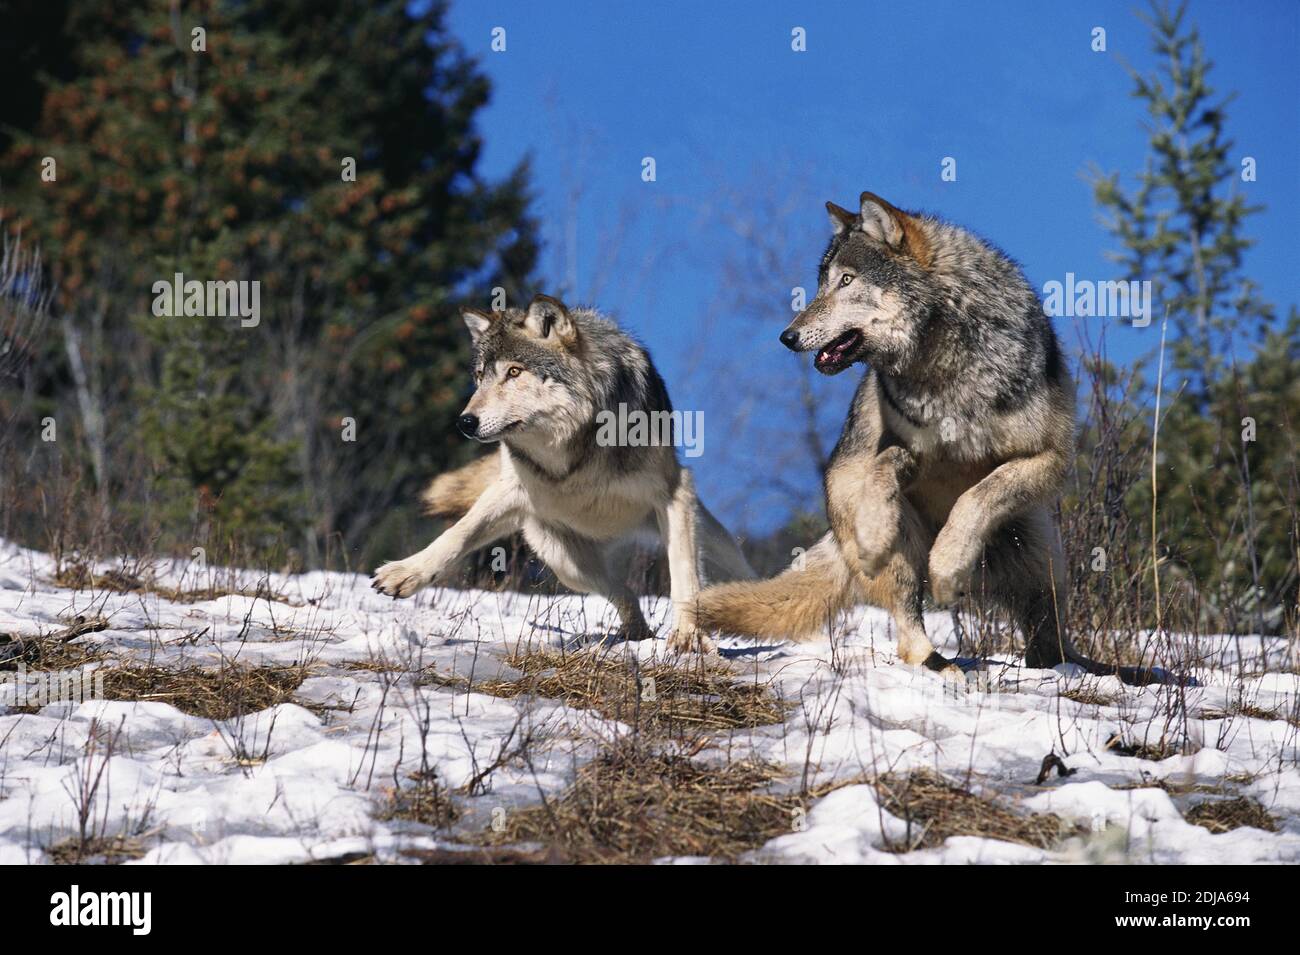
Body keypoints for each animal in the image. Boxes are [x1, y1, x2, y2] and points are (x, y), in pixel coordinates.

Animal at [371, 293, 754, 647]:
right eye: (480, 377)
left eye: (514, 372)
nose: (465, 422)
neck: (574, 450)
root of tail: (615, 536)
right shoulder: (509, 491)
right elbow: (457, 534)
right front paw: (405, 573)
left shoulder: (675, 492)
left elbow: (683, 574)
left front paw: (688, 637)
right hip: (567, 565)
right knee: (623, 592)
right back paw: (634, 633)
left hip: (714, 542)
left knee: (729, 572)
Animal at [687, 192, 1166, 685]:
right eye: (821, 284)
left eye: (845, 280)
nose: (787, 336)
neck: (946, 367)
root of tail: (834, 538)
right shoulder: (907, 451)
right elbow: (886, 463)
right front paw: (880, 530)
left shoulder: (1046, 456)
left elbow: (978, 497)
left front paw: (948, 566)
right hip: (902, 538)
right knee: (909, 626)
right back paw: (940, 663)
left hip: (1044, 558)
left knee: (1047, 643)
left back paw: (1096, 671)